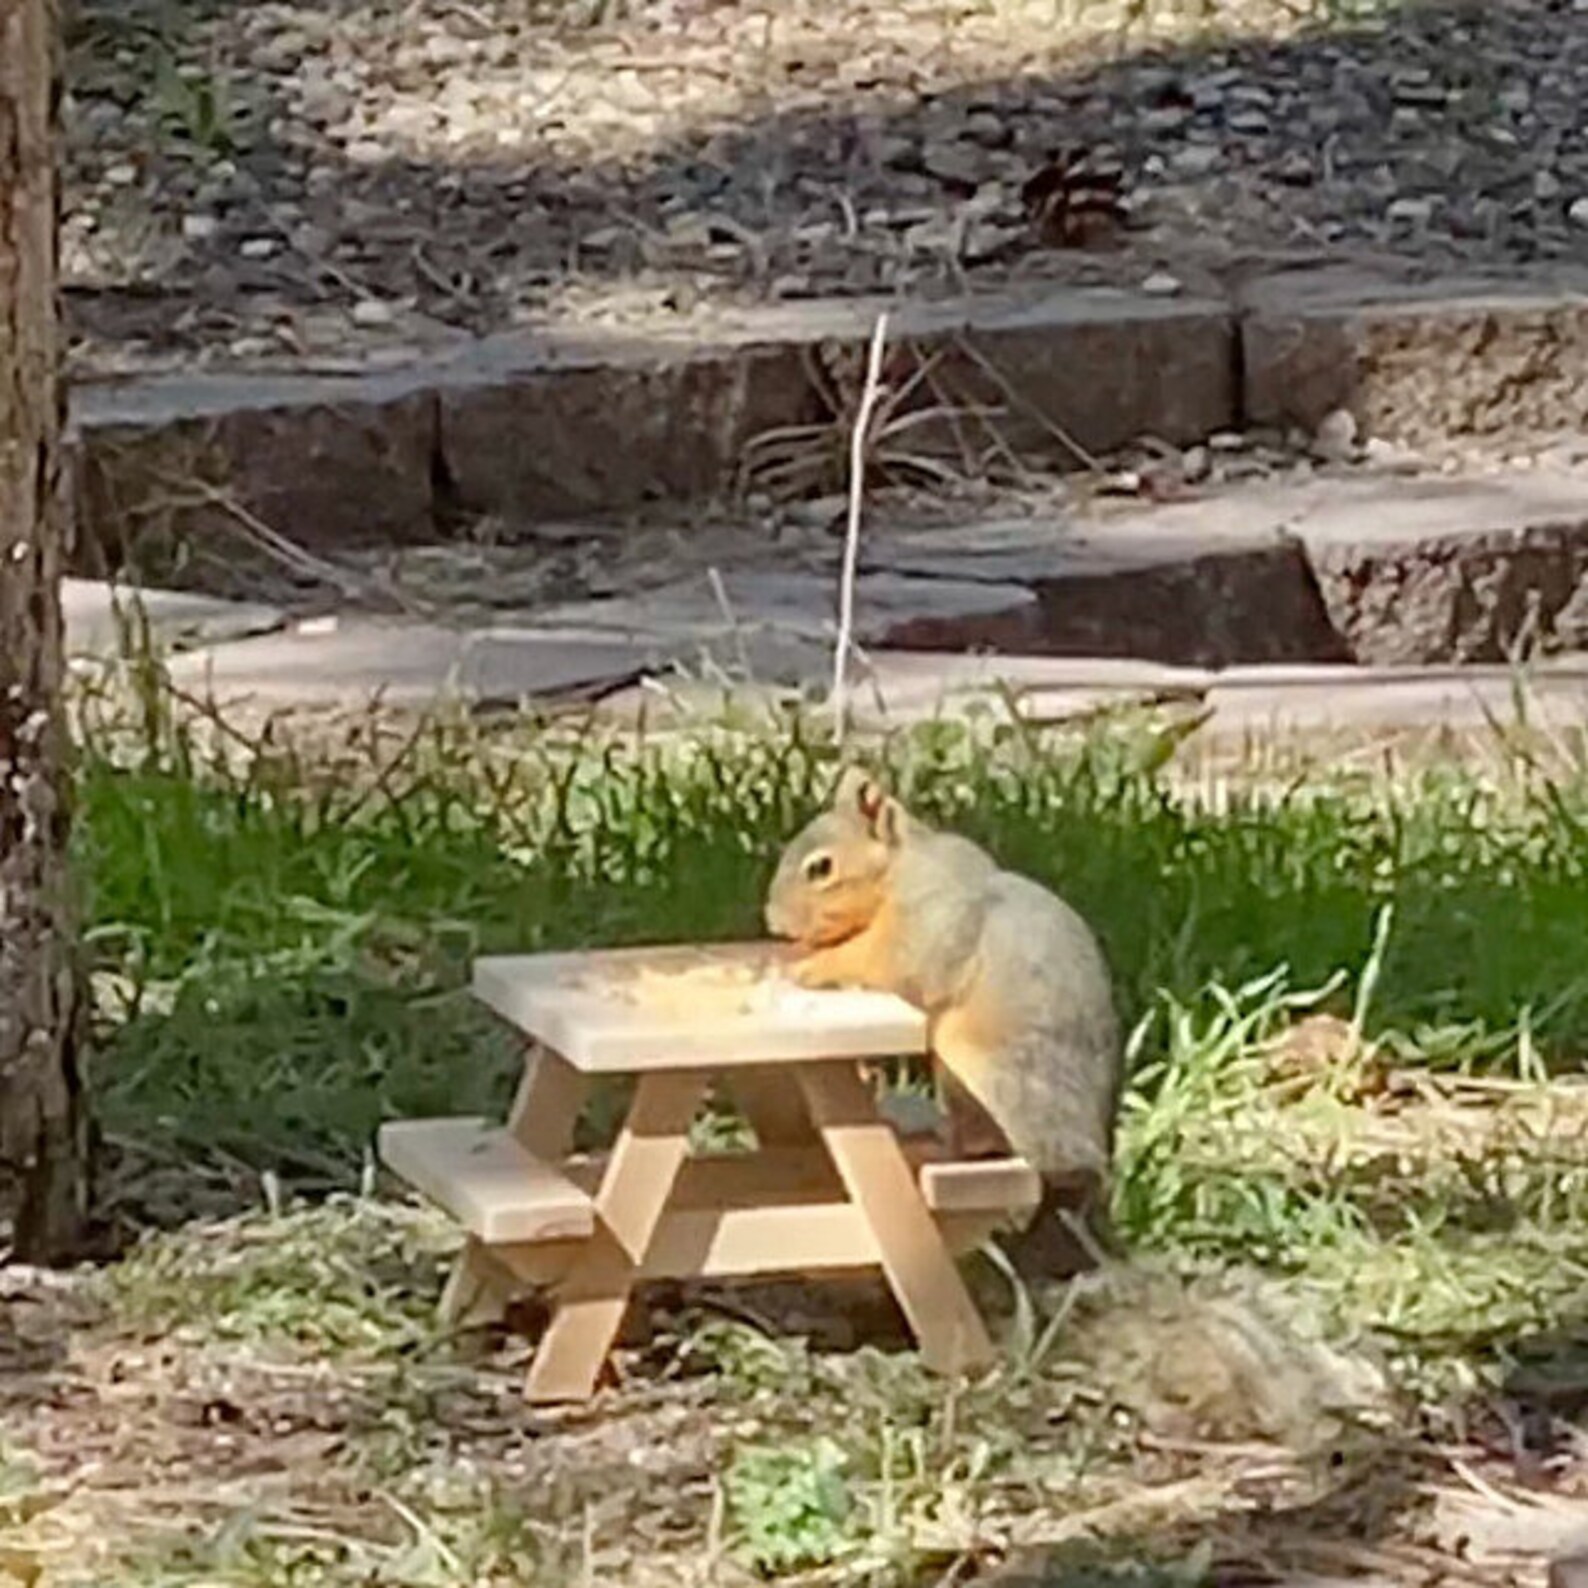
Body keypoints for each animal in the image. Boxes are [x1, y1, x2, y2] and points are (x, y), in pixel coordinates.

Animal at [763, 766, 1124, 1282]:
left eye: (821, 868)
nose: (773, 922)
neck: (902, 870)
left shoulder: (927, 927)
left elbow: (889, 963)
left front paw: (815, 964)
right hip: (959, 1087)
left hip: (1003, 1084)